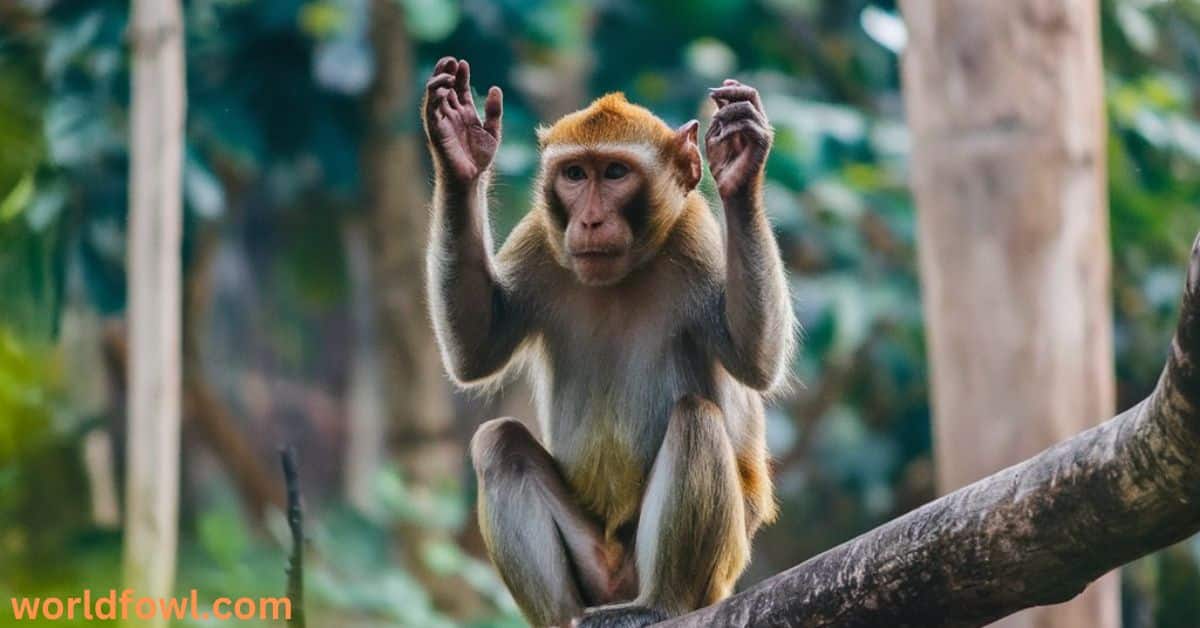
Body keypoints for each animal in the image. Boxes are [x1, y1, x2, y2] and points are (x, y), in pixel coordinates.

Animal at [422, 56, 794, 627]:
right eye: (576, 174)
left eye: (615, 173)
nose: (591, 219)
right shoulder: (540, 236)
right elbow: (477, 348)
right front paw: (460, 150)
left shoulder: (696, 237)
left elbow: (754, 359)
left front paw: (741, 164)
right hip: (593, 564)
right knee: (500, 444)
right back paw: (561, 617)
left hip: (714, 573)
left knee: (695, 419)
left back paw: (659, 604)